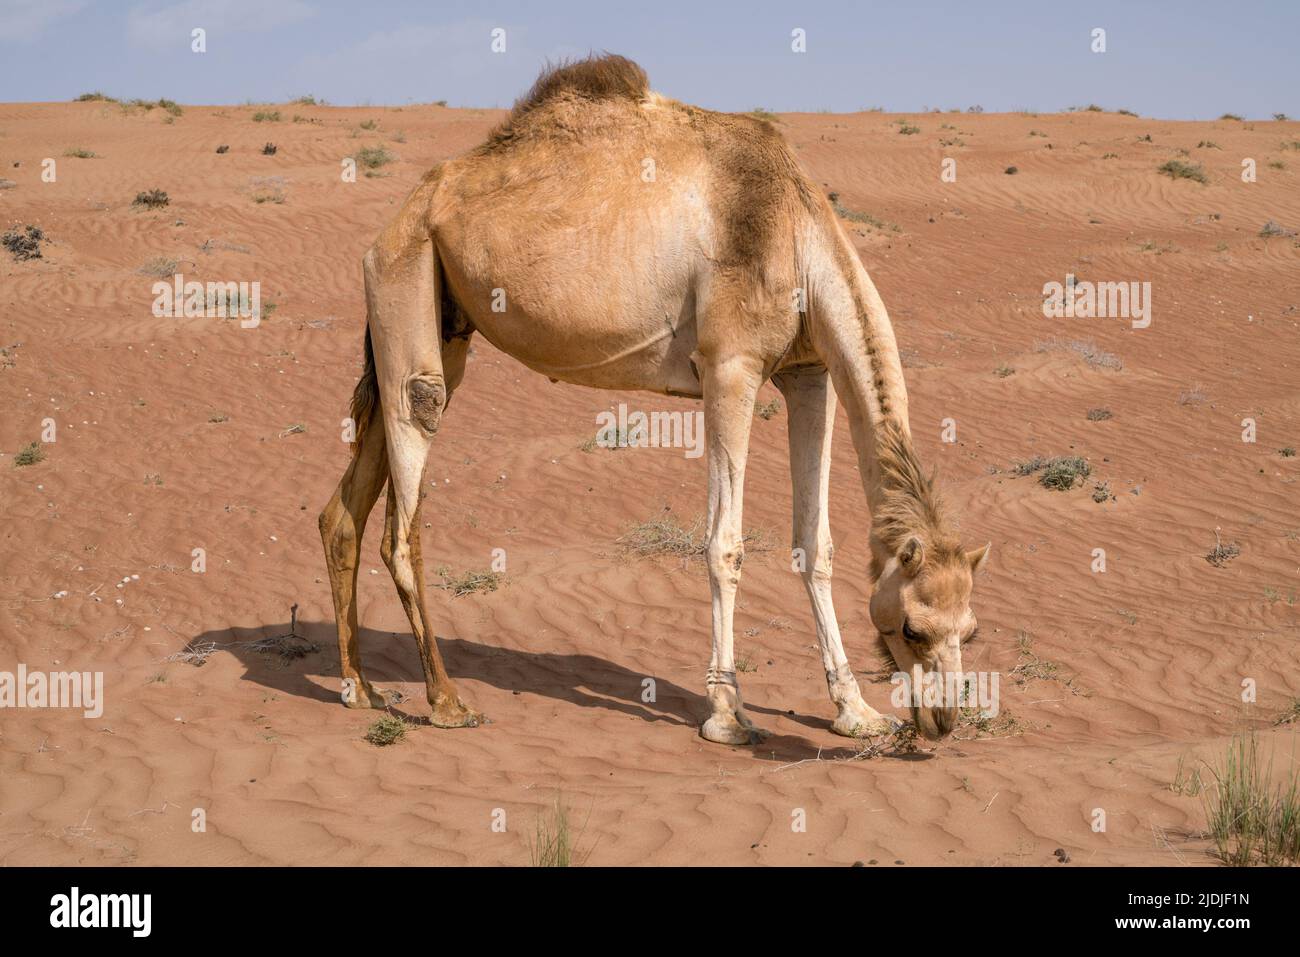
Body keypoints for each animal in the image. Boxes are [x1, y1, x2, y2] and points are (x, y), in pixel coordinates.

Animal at [318, 54, 990, 745]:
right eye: (913, 627)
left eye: (970, 630)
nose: (943, 719)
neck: (799, 237)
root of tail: (400, 215)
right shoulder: (730, 367)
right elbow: (725, 545)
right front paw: (726, 712)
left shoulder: (809, 373)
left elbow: (817, 547)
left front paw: (856, 711)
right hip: (406, 277)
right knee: (407, 487)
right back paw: (446, 701)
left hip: (437, 316)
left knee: (345, 507)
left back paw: (359, 687)